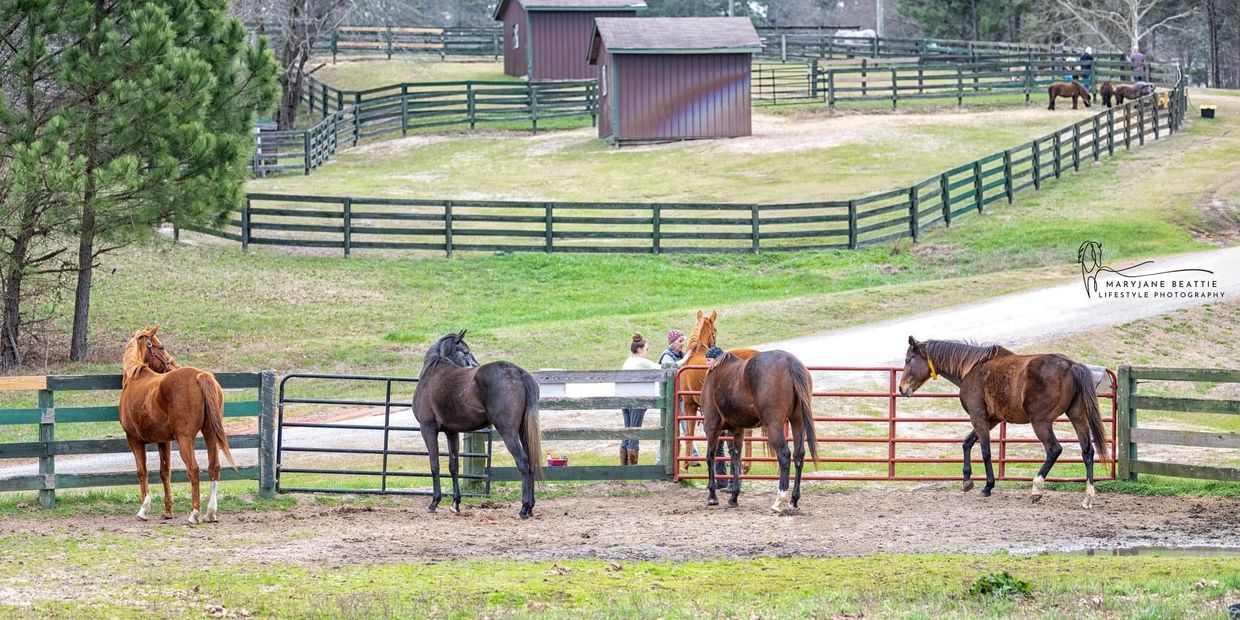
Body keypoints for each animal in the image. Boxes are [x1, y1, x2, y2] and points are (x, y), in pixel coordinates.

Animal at [120, 326, 234, 524]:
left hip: (185, 439)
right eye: (161, 347)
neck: (134, 377)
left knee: (193, 469)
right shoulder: (164, 441)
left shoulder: (134, 439)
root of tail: (200, 376)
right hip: (210, 433)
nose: (174, 366)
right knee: (214, 467)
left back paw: (194, 514)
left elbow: (142, 472)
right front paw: (167, 511)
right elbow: (165, 472)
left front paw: (144, 509)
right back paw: (210, 513)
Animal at [413, 331, 543, 519]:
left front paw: (434, 502)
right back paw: (531, 507)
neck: (433, 373)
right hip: (522, 431)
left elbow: (434, 464)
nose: (475, 364)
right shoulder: (451, 432)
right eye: (465, 351)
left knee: (522, 461)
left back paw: (524, 508)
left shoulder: (428, 429)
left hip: (508, 432)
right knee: (531, 461)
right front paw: (455, 503)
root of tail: (518, 372)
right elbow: (453, 466)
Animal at [699, 350, 819, 513]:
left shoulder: (712, 426)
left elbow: (710, 457)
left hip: (774, 425)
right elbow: (736, 459)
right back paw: (793, 500)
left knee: (784, 455)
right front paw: (734, 497)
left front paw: (712, 496)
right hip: (797, 421)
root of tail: (790, 362)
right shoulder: (738, 430)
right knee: (798, 455)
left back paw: (779, 500)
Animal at [897, 337, 1108, 508]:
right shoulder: (992, 420)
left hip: (1041, 422)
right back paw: (1088, 497)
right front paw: (967, 480)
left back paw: (1036, 489)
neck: (972, 368)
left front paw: (987, 487)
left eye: (908, 360)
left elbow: (985, 451)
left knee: (1054, 449)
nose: (901, 388)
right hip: (1077, 417)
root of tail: (1070, 365)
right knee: (1087, 452)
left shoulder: (978, 417)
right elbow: (967, 443)